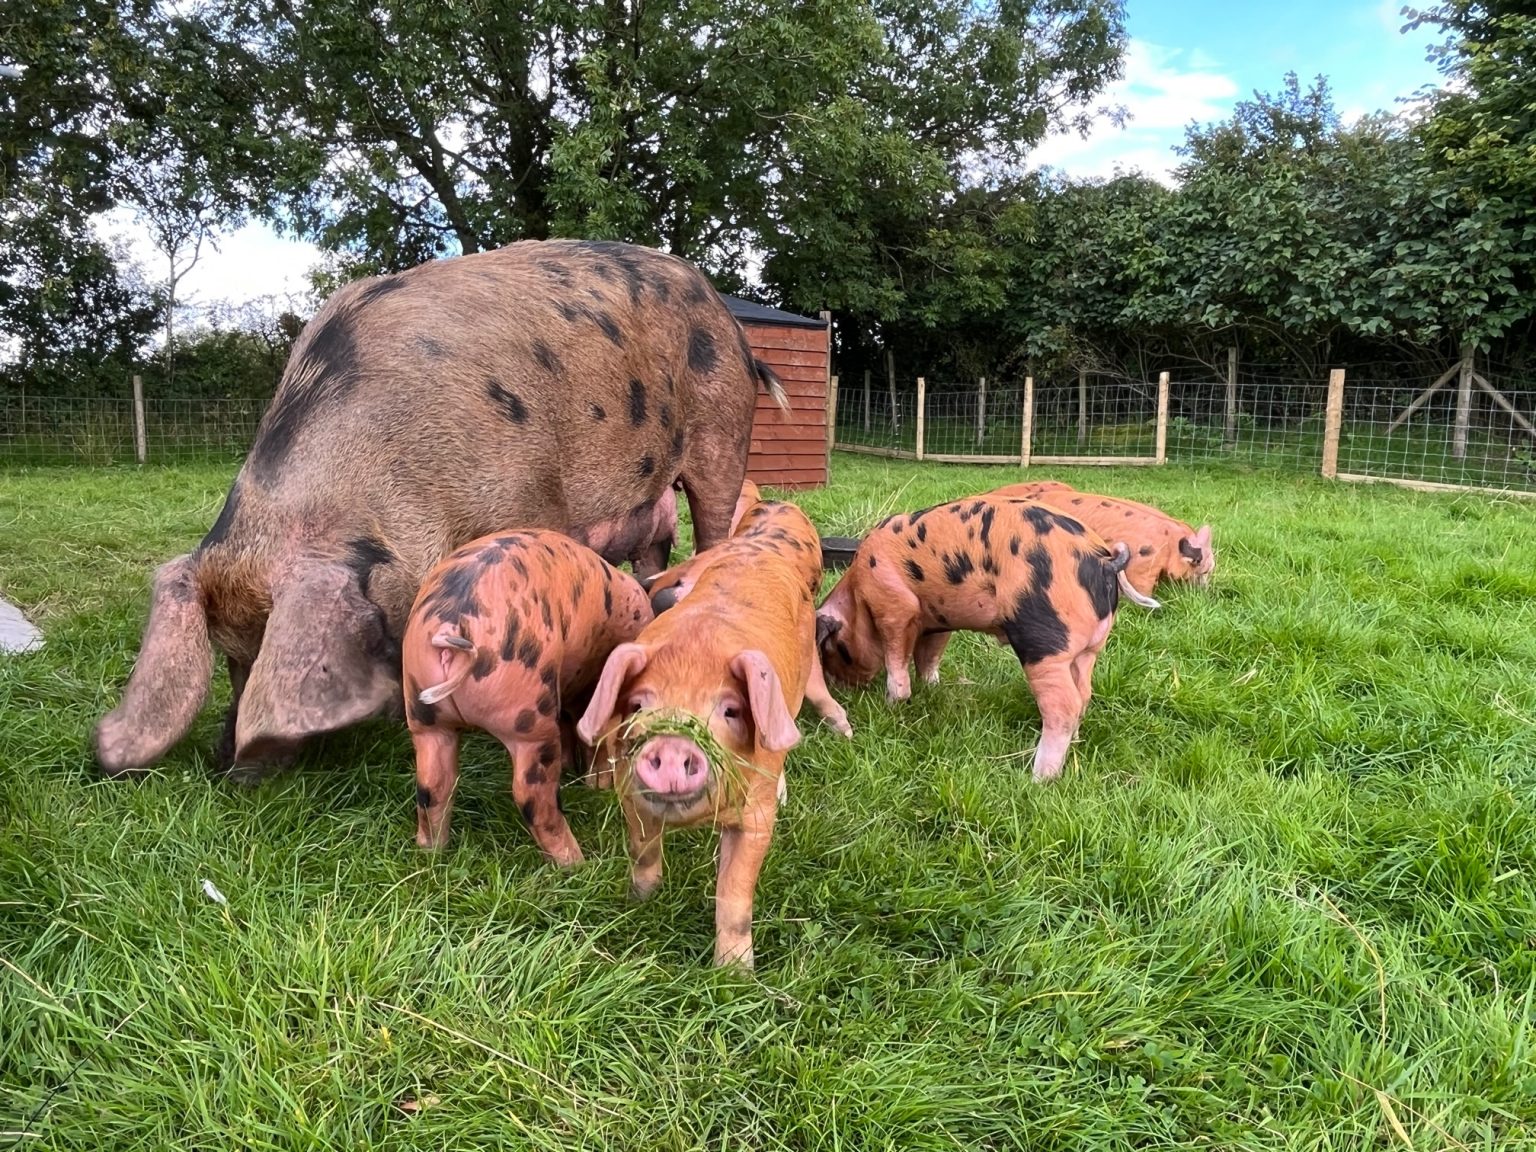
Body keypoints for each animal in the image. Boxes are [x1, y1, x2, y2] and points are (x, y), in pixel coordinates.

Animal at [95, 239, 788, 781]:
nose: (230, 770)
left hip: (722, 435)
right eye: (230, 660)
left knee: (714, 531)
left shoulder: (533, 503)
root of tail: (730, 321)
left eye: (266, 645)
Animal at [404, 529, 653, 865]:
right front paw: (599, 786)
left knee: (432, 786)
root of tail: (451, 627)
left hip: (423, 712)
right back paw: (576, 863)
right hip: (527, 716)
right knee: (531, 797)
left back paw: (432, 853)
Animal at [576, 498, 850, 968]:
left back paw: (842, 733)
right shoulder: (631, 792)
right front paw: (639, 901)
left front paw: (735, 973)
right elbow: (643, 851)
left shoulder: (756, 817)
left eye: (730, 710)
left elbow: (735, 894)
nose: (672, 746)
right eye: (637, 705)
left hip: (805, 680)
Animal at [815, 496, 1151, 782]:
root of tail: (1102, 558)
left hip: (1044, 640)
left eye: (834, 649)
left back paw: (1038, 778)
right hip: (1089, 649)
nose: (842, 686)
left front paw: (892, 705)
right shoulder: (939, 620)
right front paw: (932, 687)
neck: (858, 594)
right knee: (1084, 694)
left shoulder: (896, 605)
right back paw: (1076, 743)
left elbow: (897, 659)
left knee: (1064, 705)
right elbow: (929, 655)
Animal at [993, 482, 1214, 597]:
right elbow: (1143, 590)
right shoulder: (1142, 566)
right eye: (1201, 568)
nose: (1206, 593)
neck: (1170, 545)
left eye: (1211, 569)